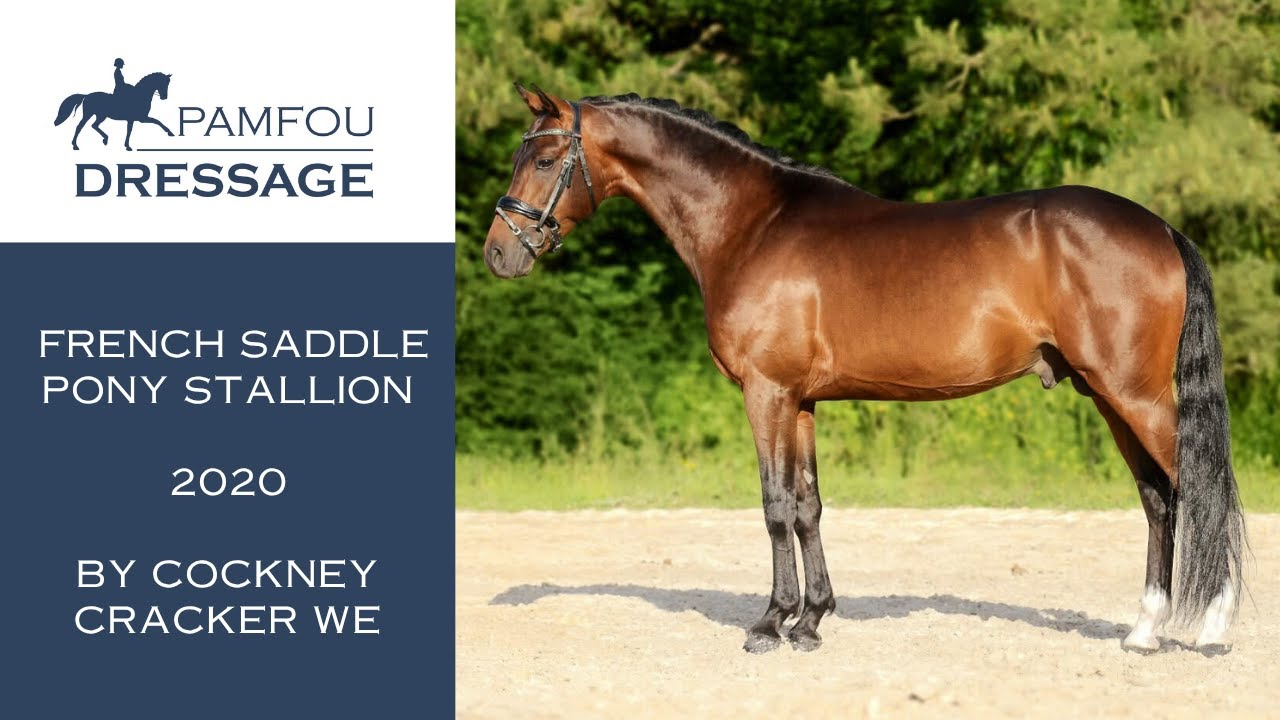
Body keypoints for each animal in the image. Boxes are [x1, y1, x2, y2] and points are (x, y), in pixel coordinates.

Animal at [482, 85, 1246, 655]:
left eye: (544, 158)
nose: (498, 252)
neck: (753, 224)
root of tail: (1161, 228)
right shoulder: (801, 401)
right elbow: (809, 506)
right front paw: (813, 619)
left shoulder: (766, 394)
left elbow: (774, 506)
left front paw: (771, 623)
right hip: (1111, 398)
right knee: (1159, 498)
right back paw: (1144, 629)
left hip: (1137, 396)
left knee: (1202, 488)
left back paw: (1212, 626)